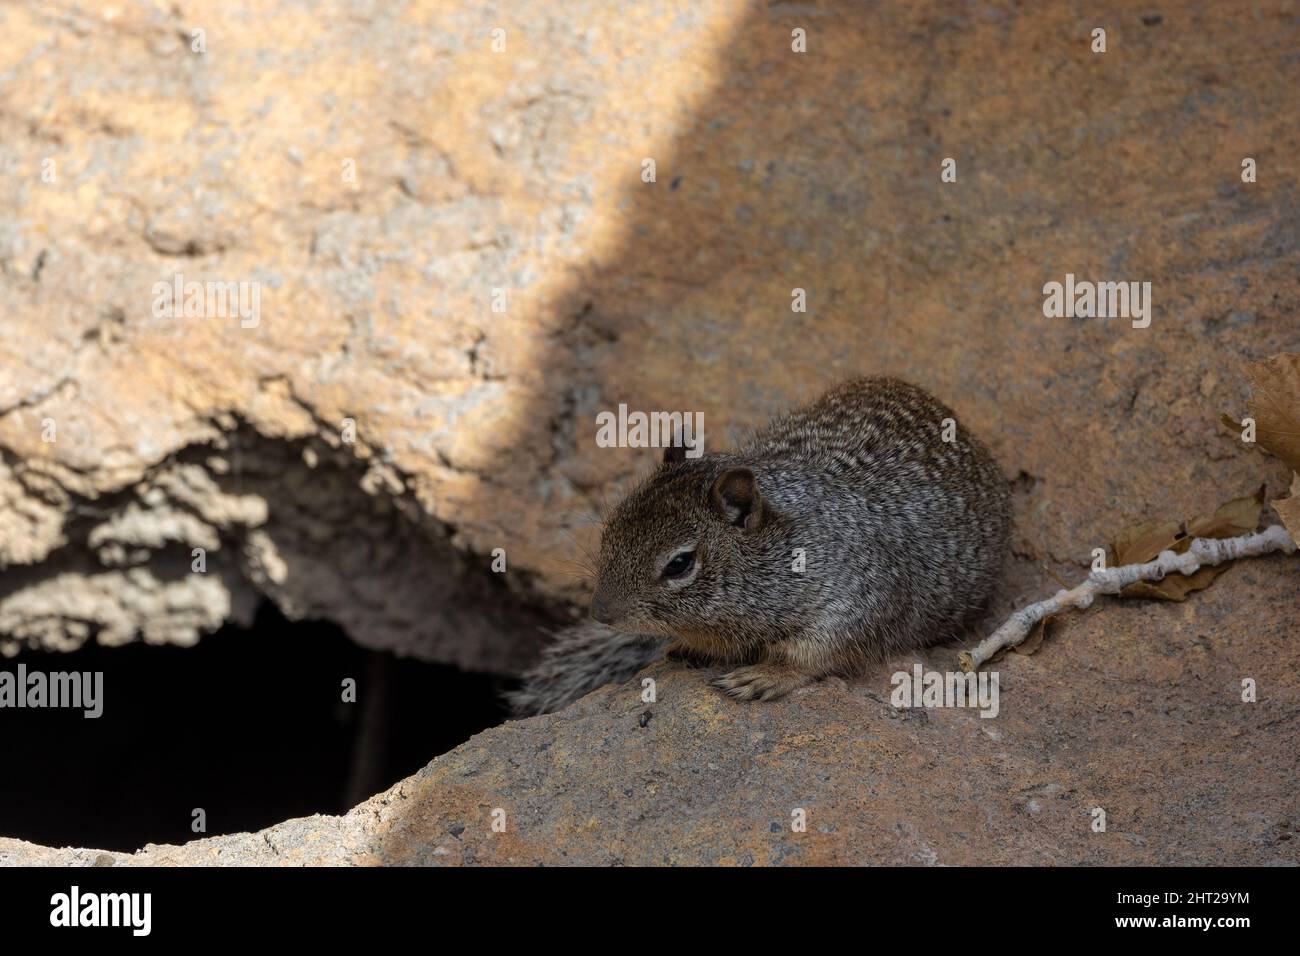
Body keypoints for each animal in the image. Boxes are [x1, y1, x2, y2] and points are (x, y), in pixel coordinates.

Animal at [509, 377, 1012, 716]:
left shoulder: (857, 599)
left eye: (680, 564)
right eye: (610, 529)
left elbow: (816, 654)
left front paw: (765, 676)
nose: (601, 612)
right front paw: (691, 647)